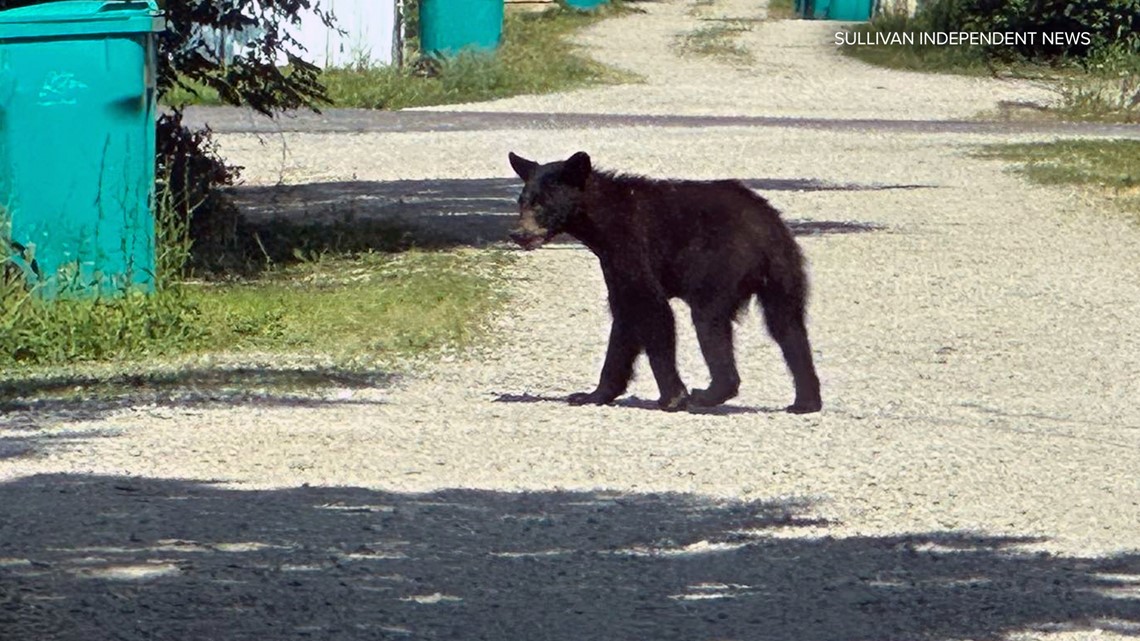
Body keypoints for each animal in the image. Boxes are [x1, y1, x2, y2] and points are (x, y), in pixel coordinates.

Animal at [507, 151, 821, 414]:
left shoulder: (632, 247)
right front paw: (592, 394)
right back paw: (805, 401)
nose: (518, 234)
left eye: (542, 203)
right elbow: (624, 321)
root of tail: (767, 230)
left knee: (710, 321)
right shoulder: (615, 264)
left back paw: (707, 393)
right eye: (522, 201)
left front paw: (672, 396)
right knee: (787, 326)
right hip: (784, 274)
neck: (601, 222)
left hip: (719, 267)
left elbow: (652, 310)